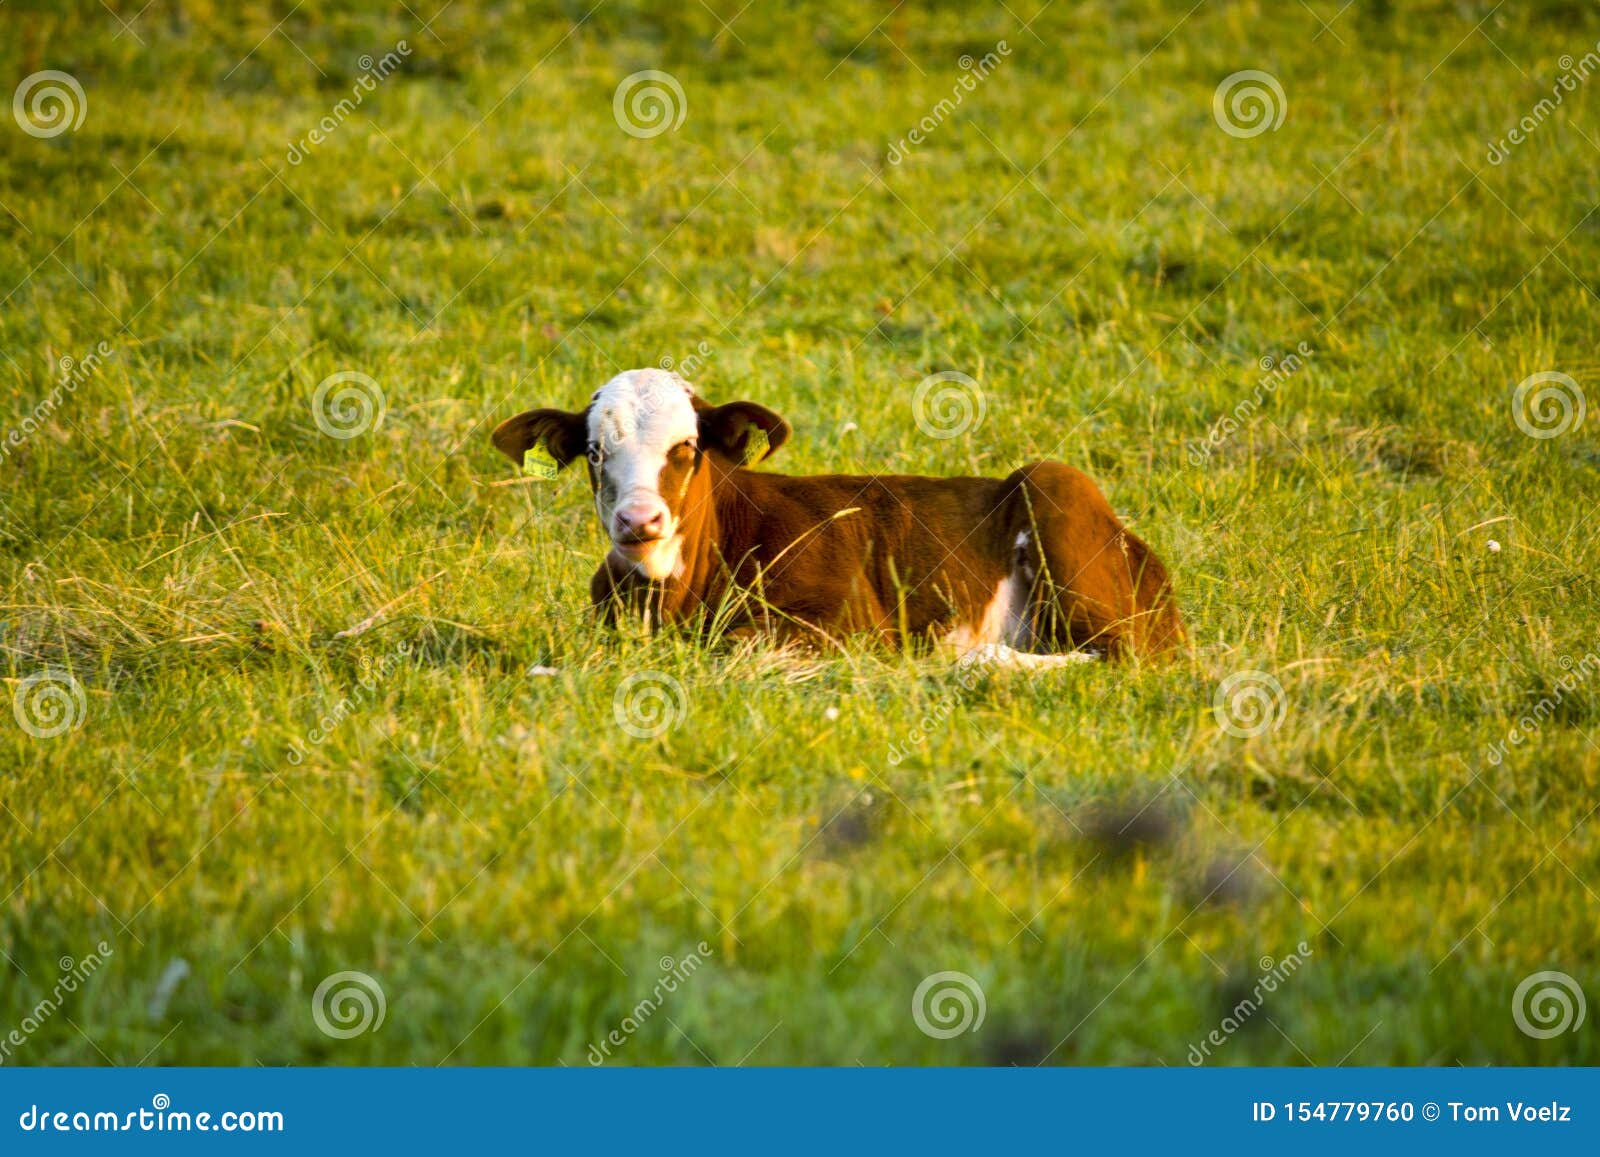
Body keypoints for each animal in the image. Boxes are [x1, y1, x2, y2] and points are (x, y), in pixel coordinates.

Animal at [492, 369, 1184, 665]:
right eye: (593, 451)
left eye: (686, 447)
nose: (639, 521)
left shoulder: (852, 623)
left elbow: (741, 643)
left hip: (1057, 492)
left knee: (1119, 658)